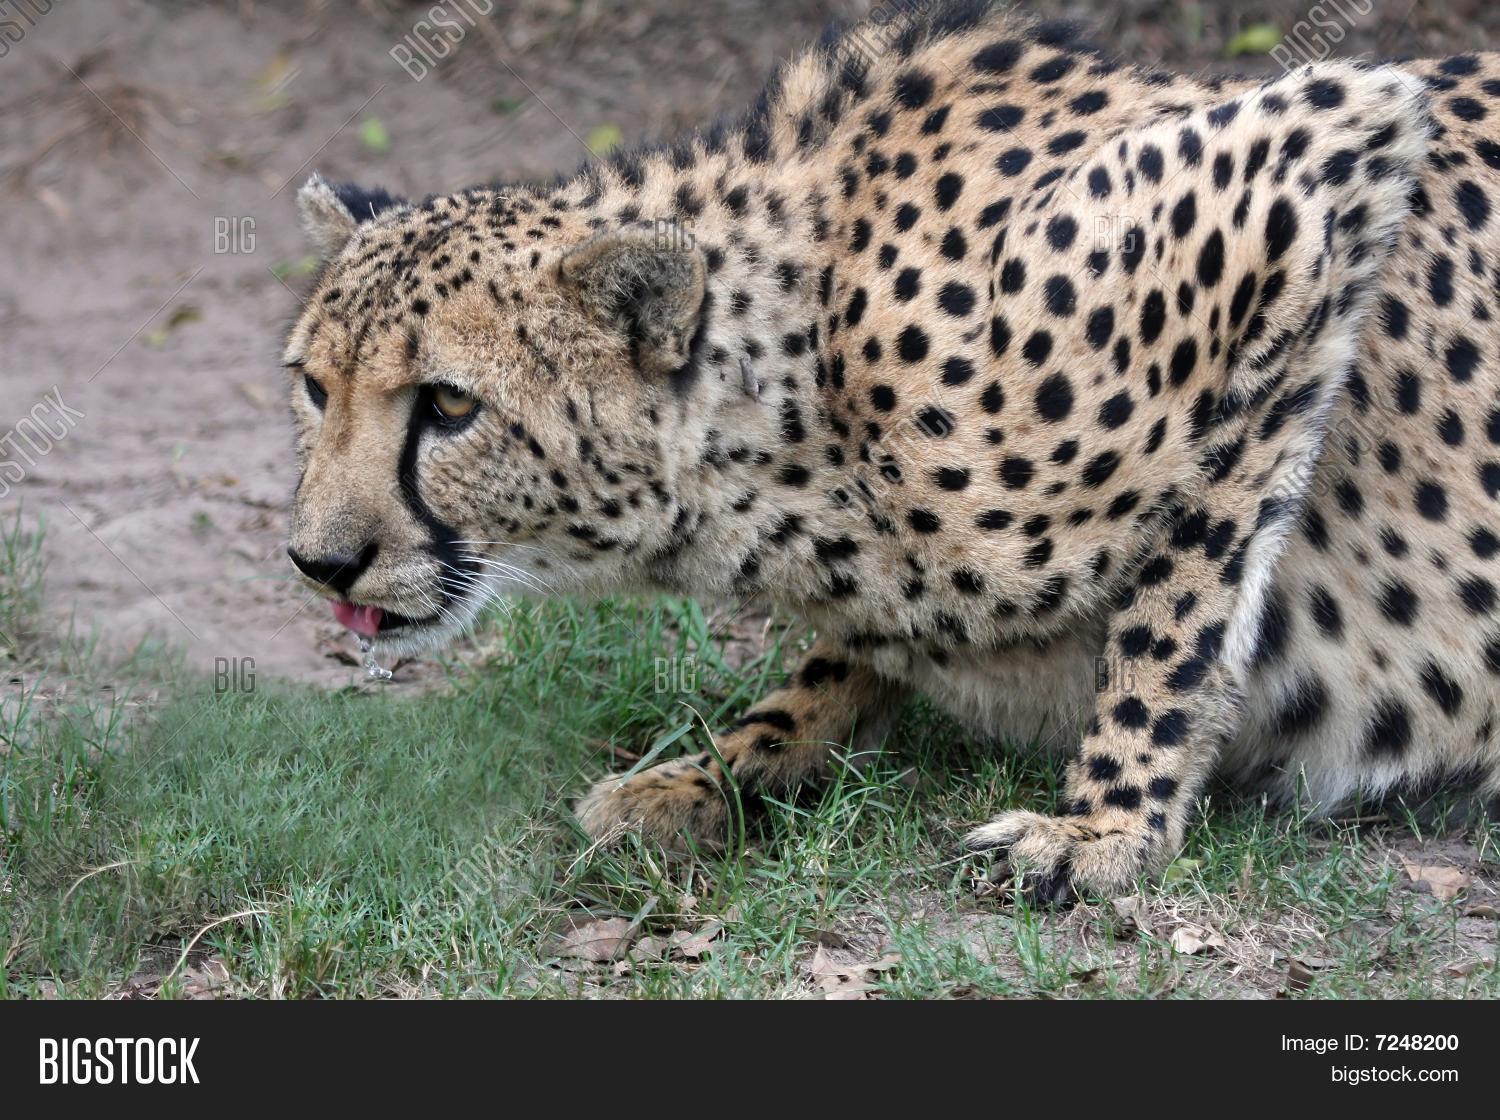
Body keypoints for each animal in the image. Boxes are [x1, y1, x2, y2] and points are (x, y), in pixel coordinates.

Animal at [282, 0, 1500, 902]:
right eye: (313, 387)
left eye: (450, 405)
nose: (319, 562)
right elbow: (840, 661)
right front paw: (720, 768)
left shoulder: (1319, 160)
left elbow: (1180, 602)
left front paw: (1107, 830)